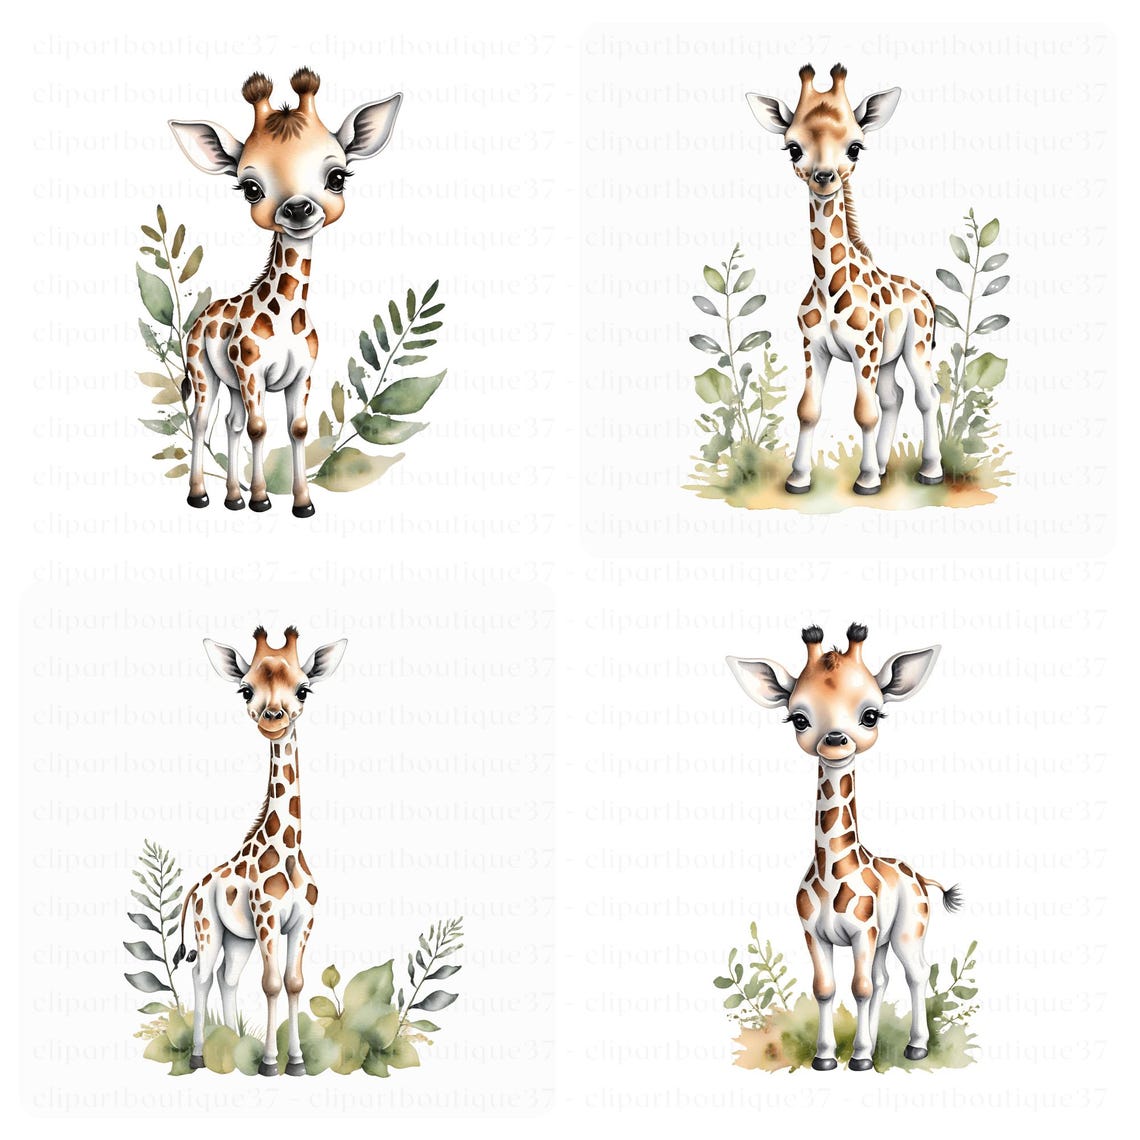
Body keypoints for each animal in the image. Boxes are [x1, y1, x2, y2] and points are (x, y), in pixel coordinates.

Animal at [169, 68, 402, 516]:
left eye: (337, 177)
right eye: (250, 187)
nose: (297, 209)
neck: (287, 316)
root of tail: (199, 319)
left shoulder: (301, 376)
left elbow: (297, 428)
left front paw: (301, 502)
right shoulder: (252, 372)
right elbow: (261, 428)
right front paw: (261, 499)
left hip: (232, 383)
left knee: (231, 422)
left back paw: (232, 498)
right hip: (205, 373)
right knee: (203, 421)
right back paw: (200, 495)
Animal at [173, 626, 347, 1076]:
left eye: (303, 689)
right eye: (245, 690)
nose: (274, 719)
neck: (289, 848)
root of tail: (196, 887)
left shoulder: (303, 921)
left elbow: (293, 983)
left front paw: (295, 1061)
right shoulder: (267, 917)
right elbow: (270, 984)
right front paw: (271, 1062)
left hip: (239, 939)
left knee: (226, 977)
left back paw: (234, 1042)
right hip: (209, 929)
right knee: (201, 975)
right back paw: (200, 1054)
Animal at [727, 623, 961, 1071]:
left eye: (870, 714)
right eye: (798, 718)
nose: (835, 741)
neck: (830, 870)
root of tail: (921, 877)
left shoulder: (861, 932)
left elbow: (860, 987)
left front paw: (861, 1058)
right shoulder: (814, 934)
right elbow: (827, 987)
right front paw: (827, 1056)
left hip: (907, 931)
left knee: (916, 973)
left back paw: (915, 1046)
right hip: (884, 940)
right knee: (885, 978)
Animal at [747, 64, 943, 495]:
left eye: (855, 147)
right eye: (793, 147)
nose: (824, 177)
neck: (826, 285)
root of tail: (925, 295)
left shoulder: (862, 349)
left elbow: (863, 412)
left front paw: (865, 480)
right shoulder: (814, 348)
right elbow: (808, 409)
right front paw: (799, 478)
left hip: (915, 347)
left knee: (927, 396)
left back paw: (929, 470)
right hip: (888, 357)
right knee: (893, 396)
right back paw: (885, 466)